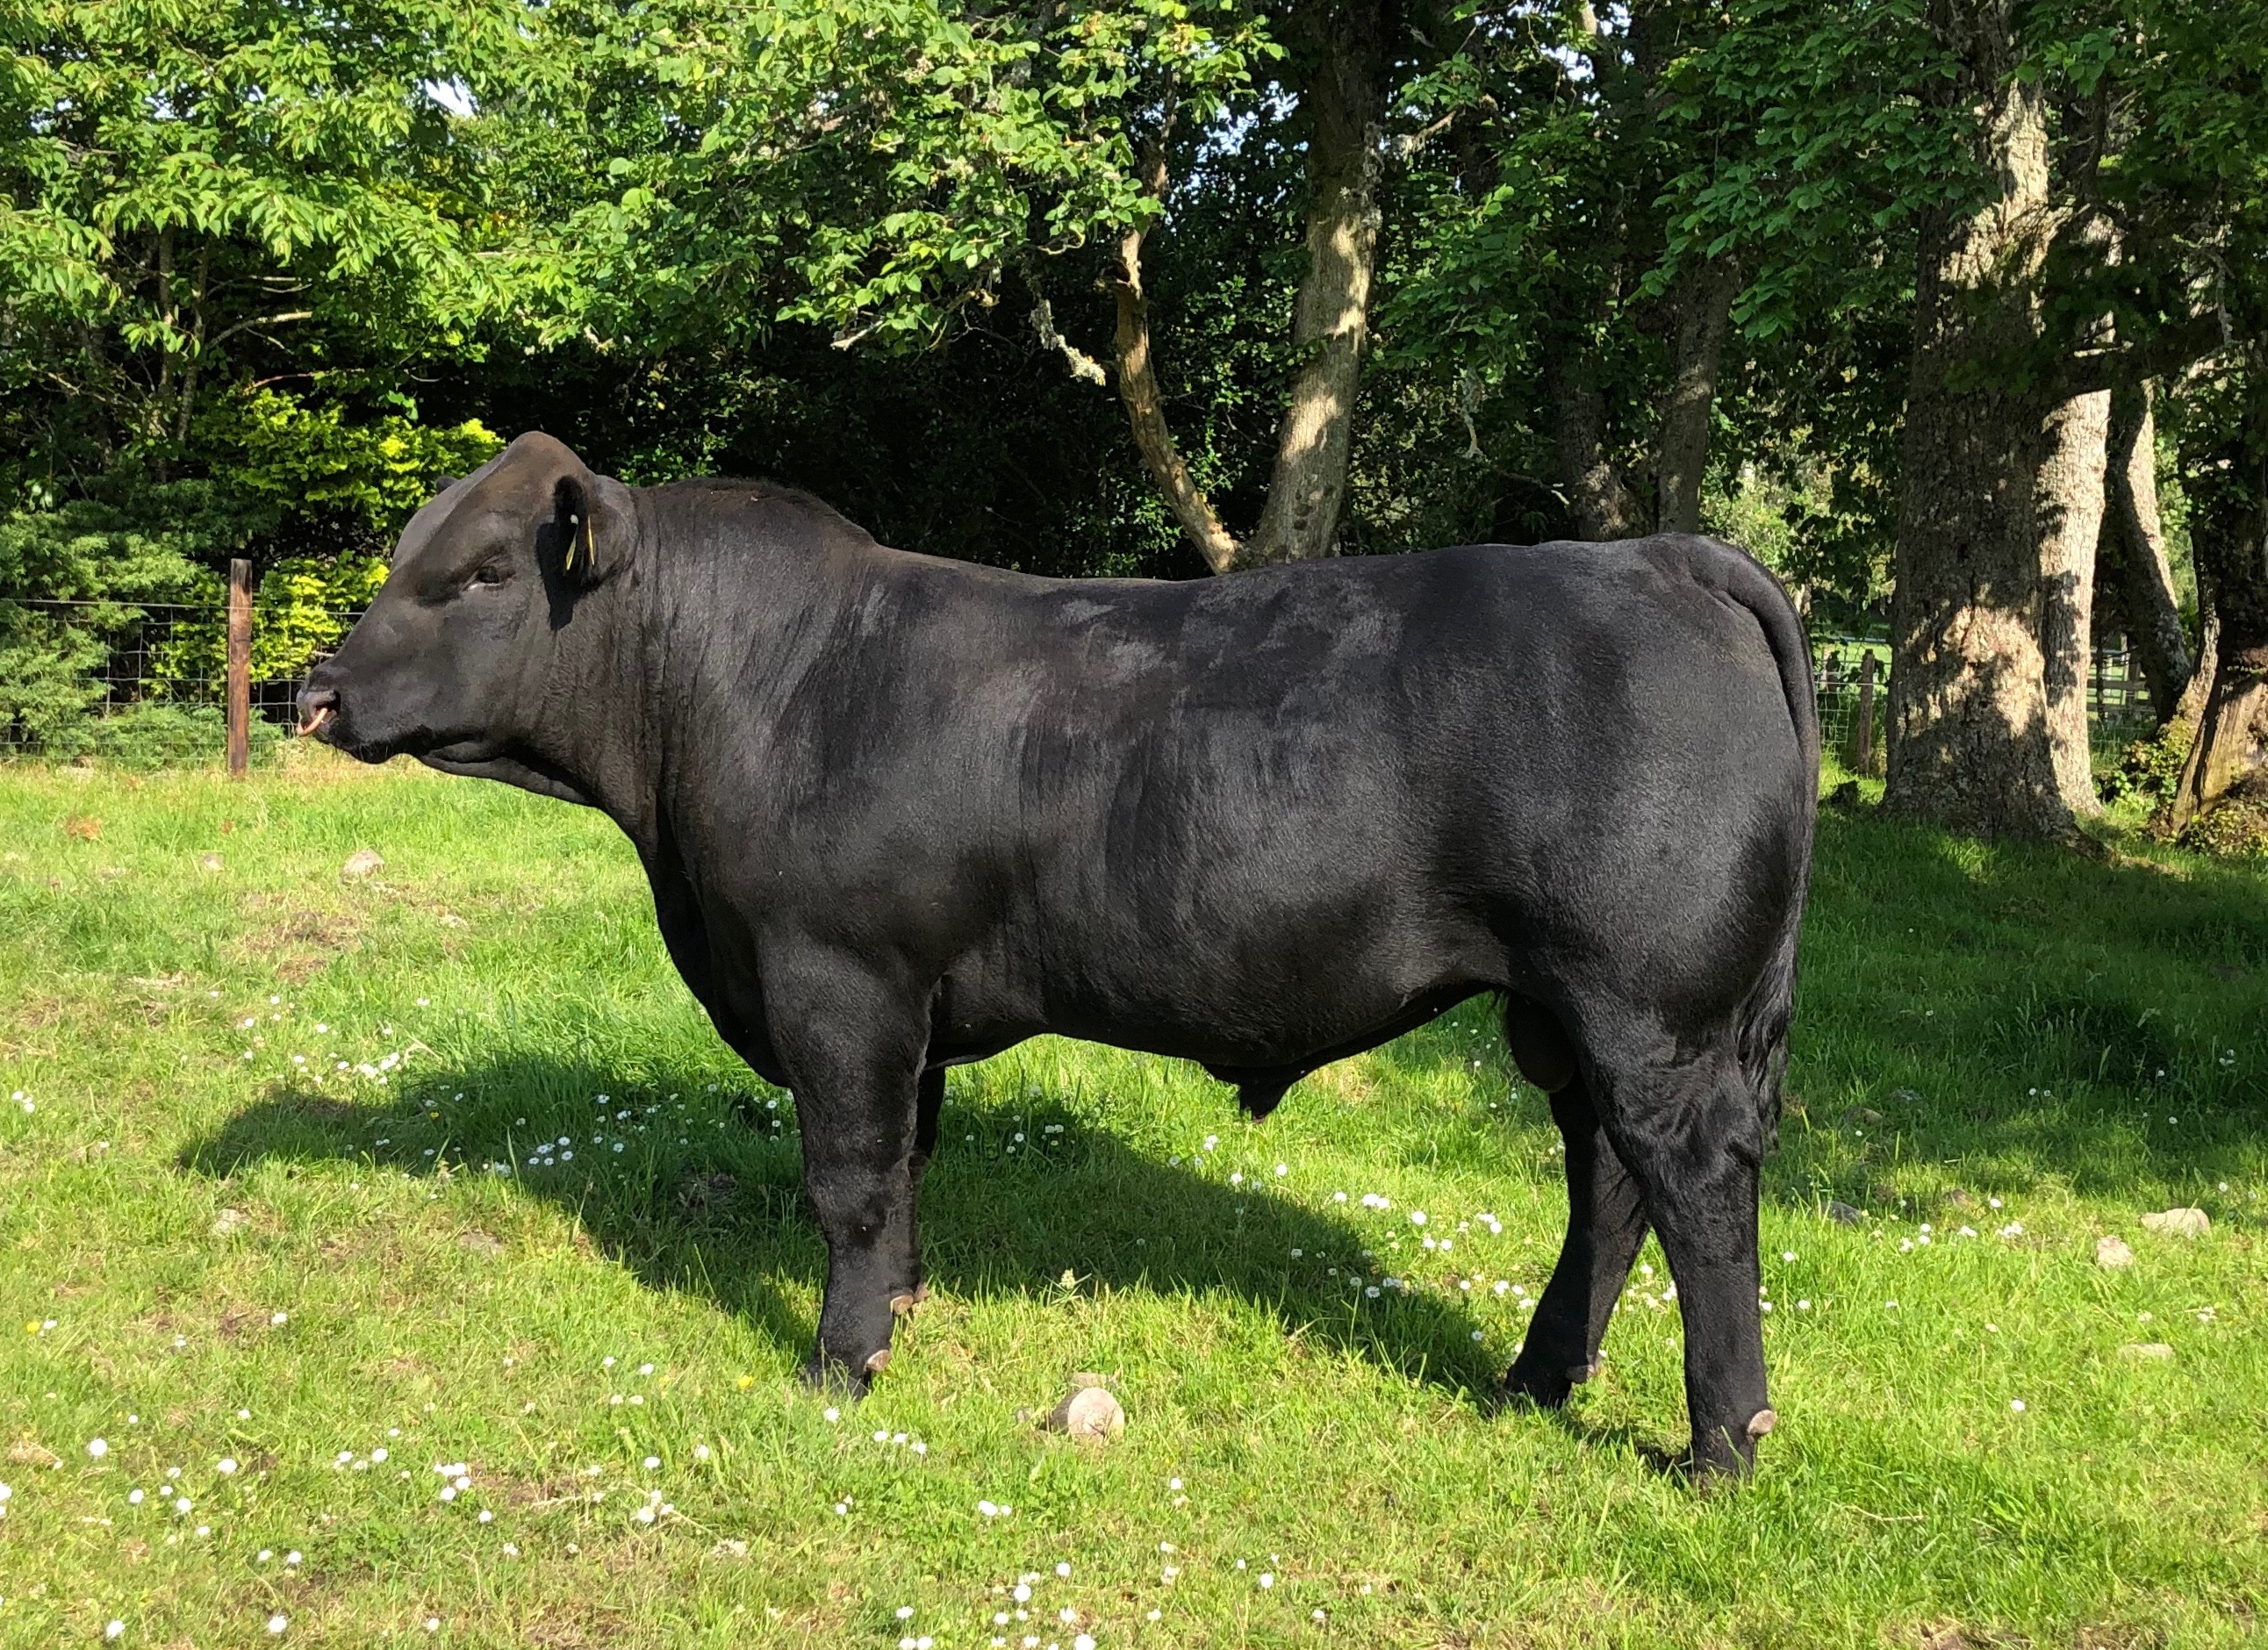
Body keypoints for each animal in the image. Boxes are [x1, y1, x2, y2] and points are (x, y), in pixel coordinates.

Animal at [299, 432, 1818, 1477]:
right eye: (407, 556)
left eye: (483, 573)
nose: (316, 691)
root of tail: (1653, 555)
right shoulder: (901, 1001)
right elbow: (905, 1165)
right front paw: (900, 1308)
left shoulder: (834, 979)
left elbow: (848, 1179)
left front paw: (840, 1364)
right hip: (1566, 1013)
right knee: (1607, 1188)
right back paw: (1538, 1378)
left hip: (1652, 1012)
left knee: (1697, 1194)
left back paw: (1720, 1445)